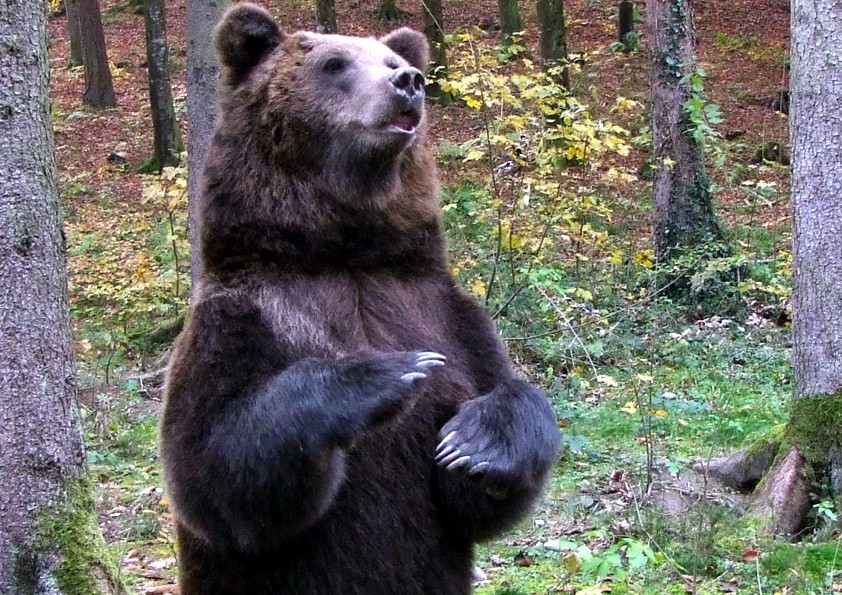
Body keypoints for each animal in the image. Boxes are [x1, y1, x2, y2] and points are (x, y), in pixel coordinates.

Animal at [159, 4, 560, 594]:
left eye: (393, 59)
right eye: (334, 63)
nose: (408, 82)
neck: (345, 253)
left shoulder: (445, 315)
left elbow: (477, 479)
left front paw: (474, 442)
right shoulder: (245, 318)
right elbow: (212, 467)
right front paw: (389, 372)